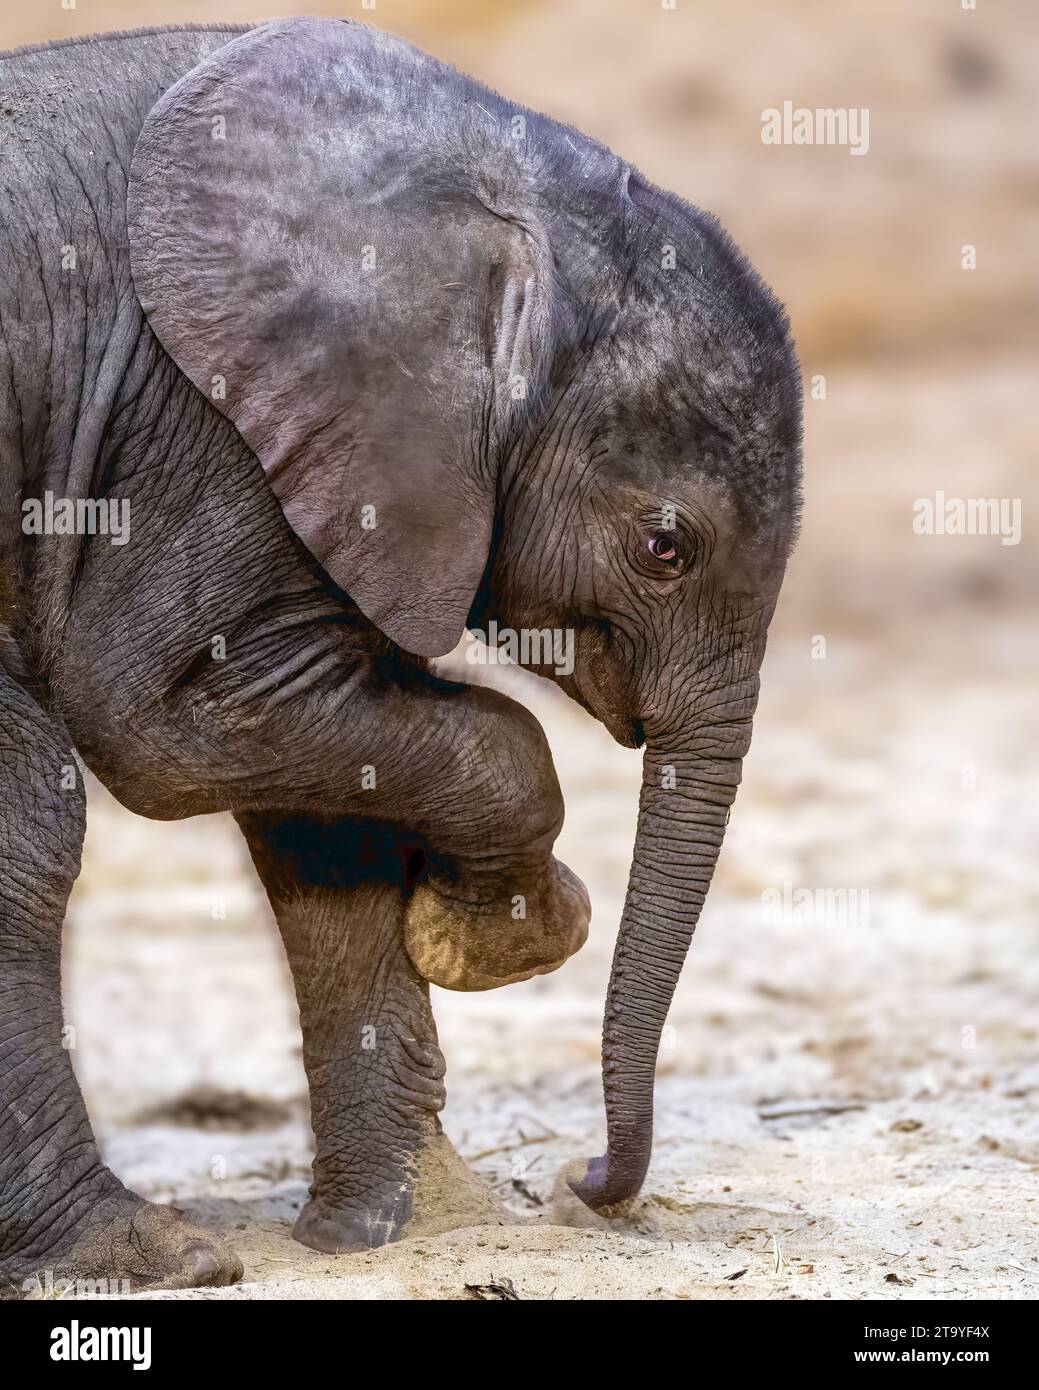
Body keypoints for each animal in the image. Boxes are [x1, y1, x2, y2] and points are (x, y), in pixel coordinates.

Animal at [0, 18, 801, 1294]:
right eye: (664, 547)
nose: (583, 1184)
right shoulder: (195, 425)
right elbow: (162, 728)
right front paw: (503, 931)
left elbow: (322, 811)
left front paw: (398, 1229)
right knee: (37, 817)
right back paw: (143, 1253)